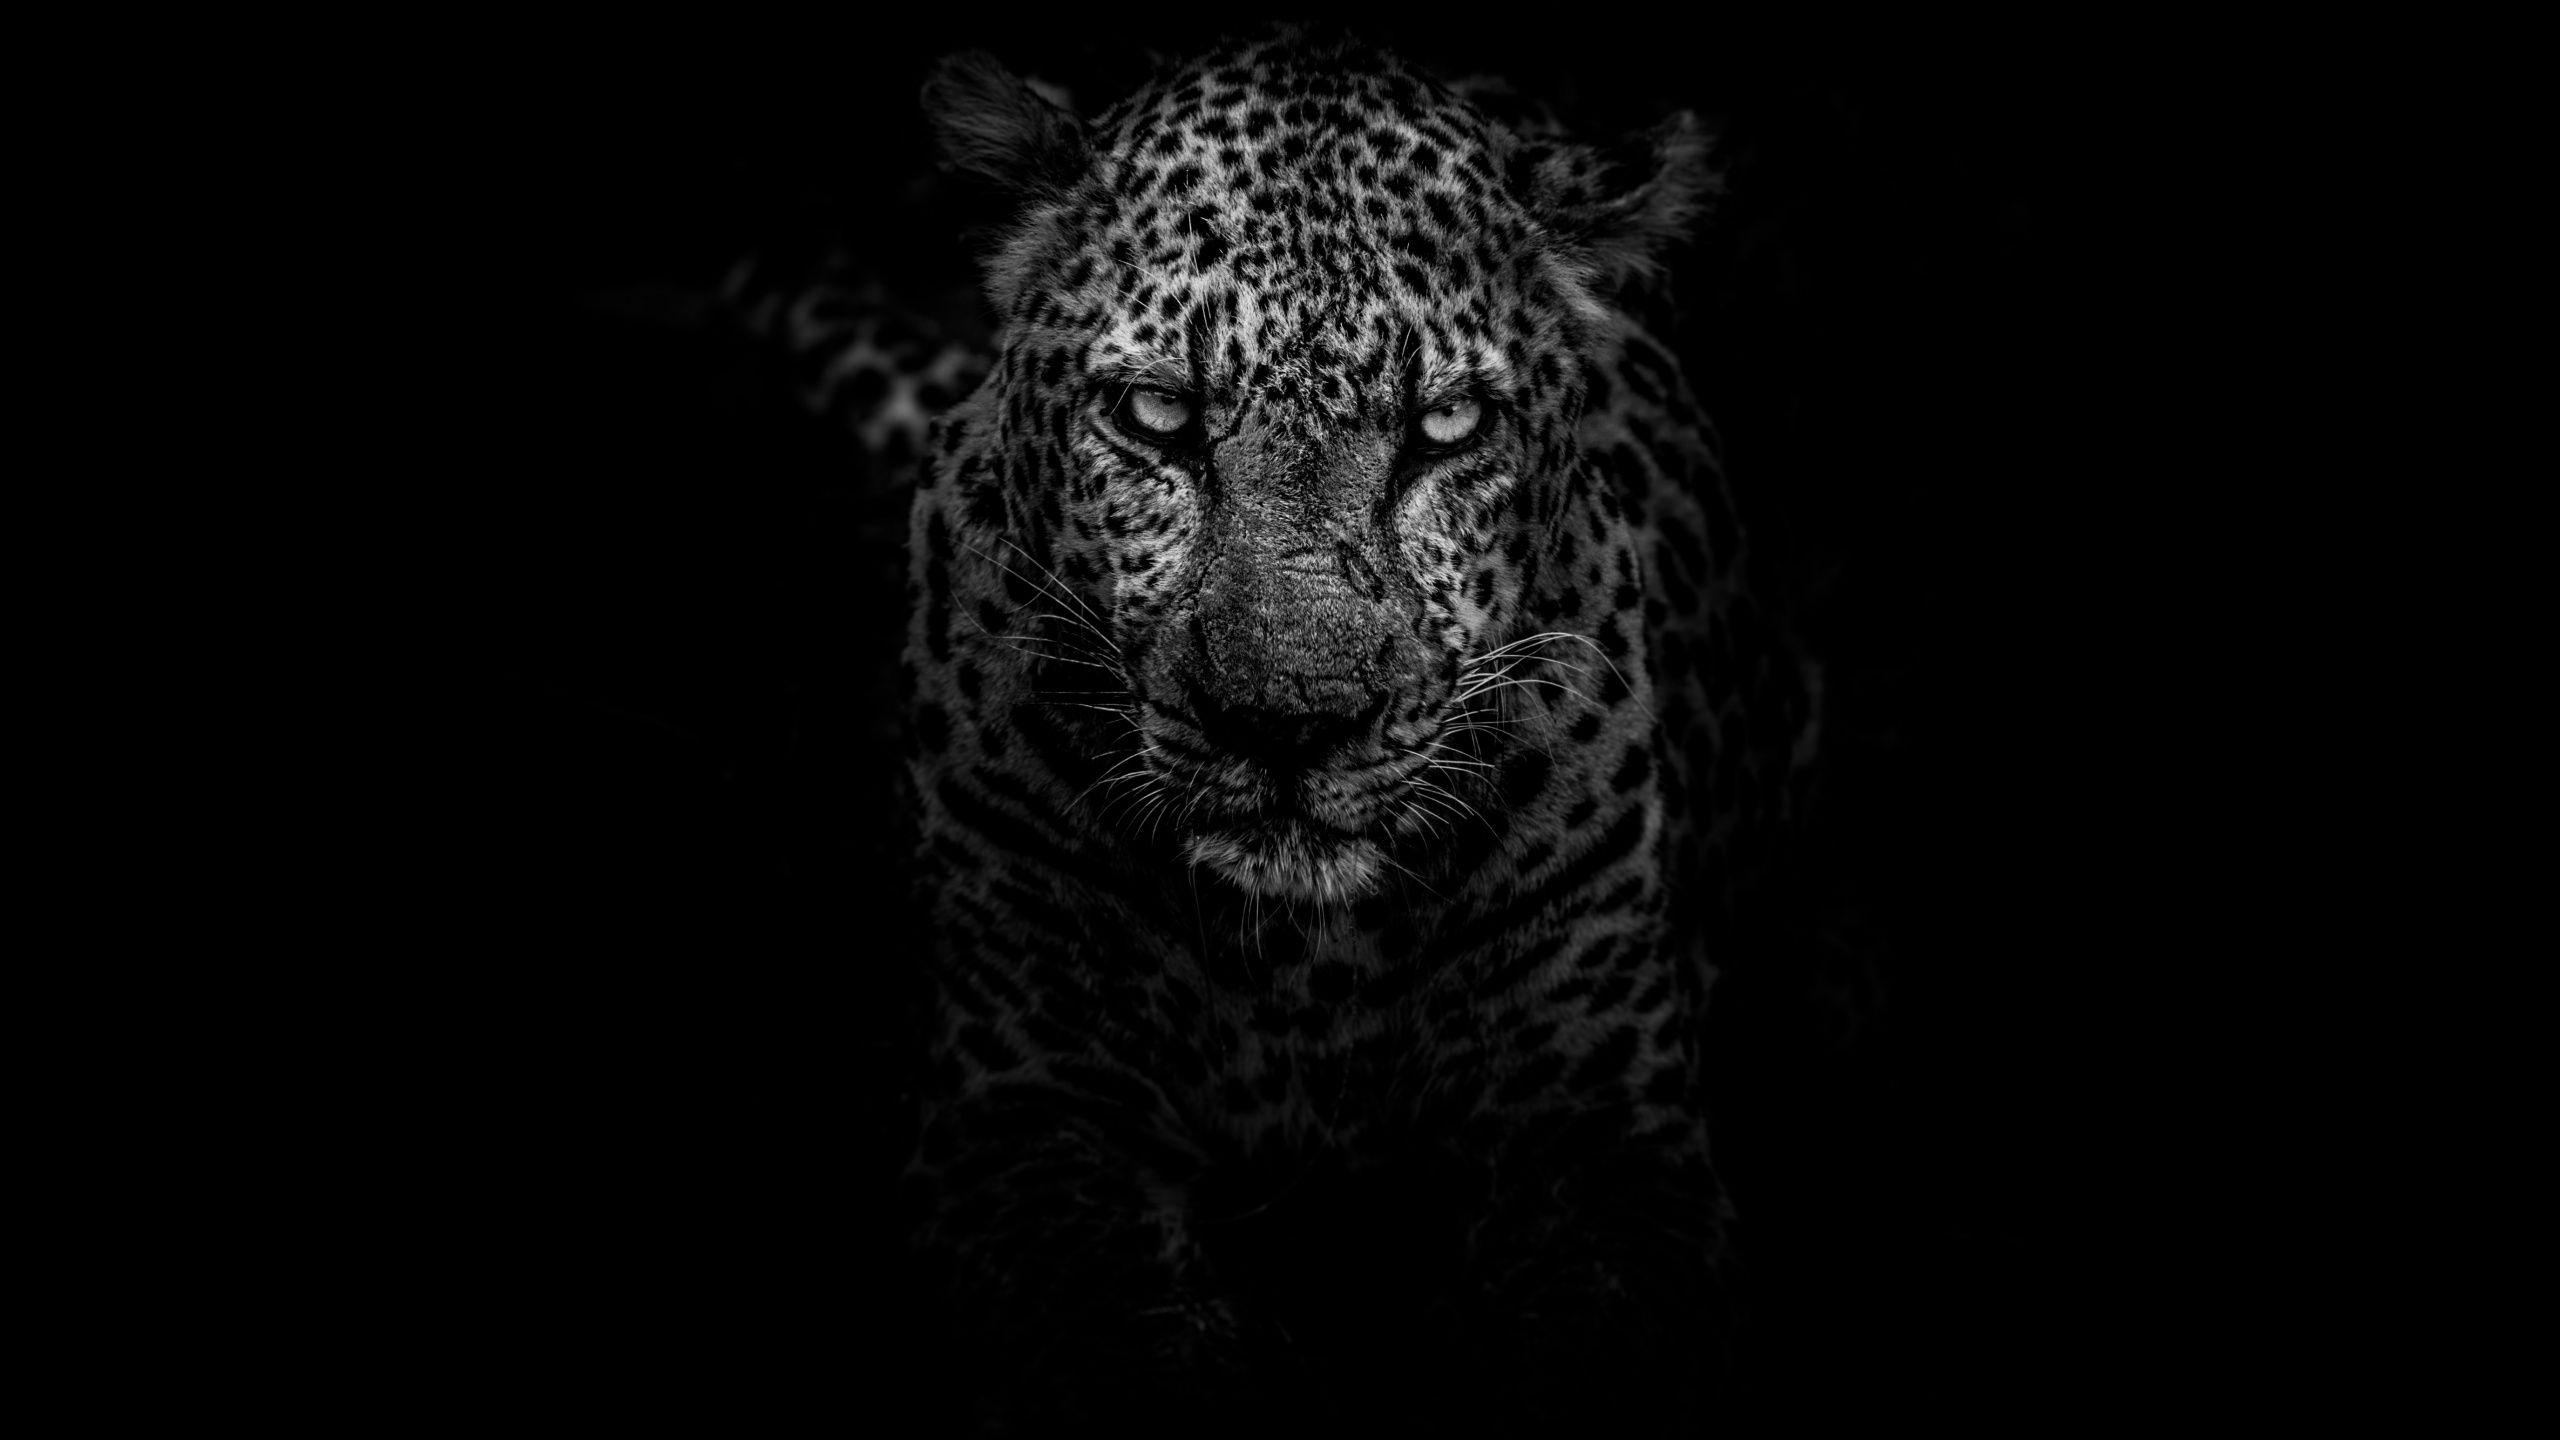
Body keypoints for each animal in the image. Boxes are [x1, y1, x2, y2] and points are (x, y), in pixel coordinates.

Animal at [743, 25, 1830, 1432]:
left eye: (1446, 428)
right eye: (1156, 416)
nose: (1287, 726)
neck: (1299, 965)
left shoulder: (1604, 1141)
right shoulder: (1019, 1116)